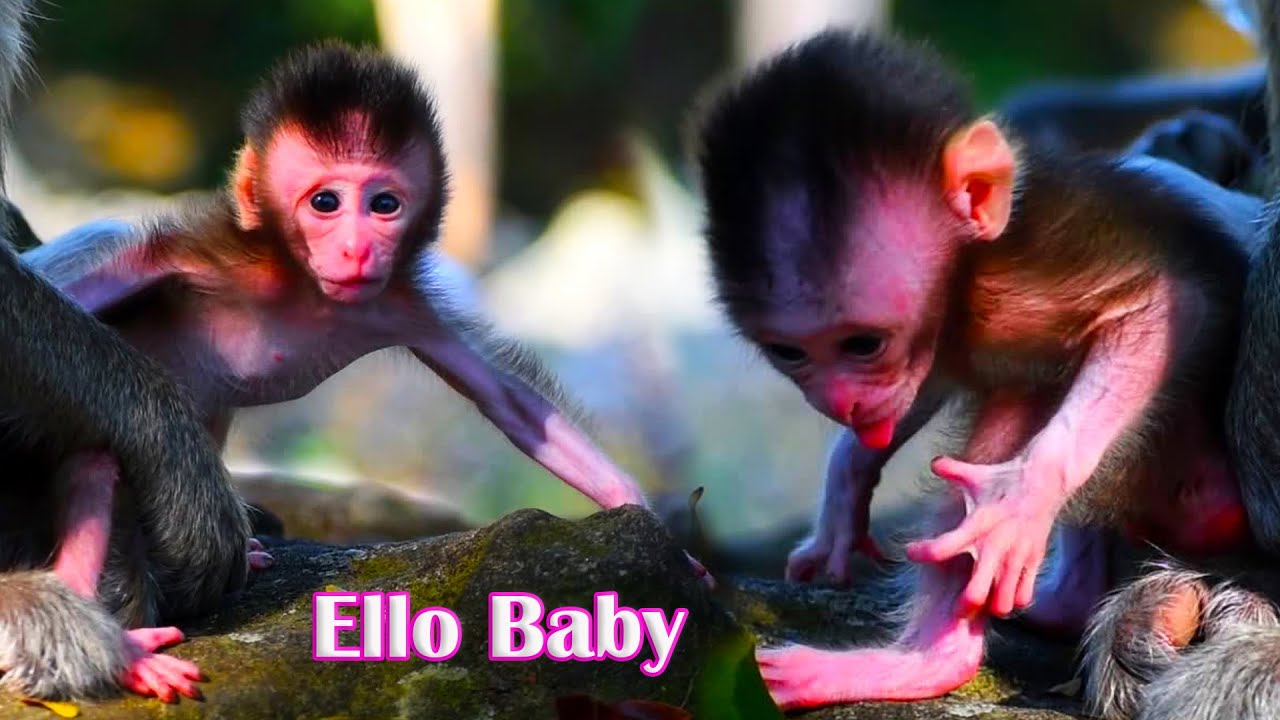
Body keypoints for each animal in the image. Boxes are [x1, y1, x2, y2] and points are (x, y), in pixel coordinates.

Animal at [21, 43, 669, 552]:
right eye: (325, 202)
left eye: (383, 204)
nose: (356, 249)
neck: (299, 287)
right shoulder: (193, 259)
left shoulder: (401, 305)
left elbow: (512, 403)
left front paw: (645, 518)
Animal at [692, 29, 1261, 710]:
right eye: (791, 353)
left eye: (862, 344)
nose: (839, 401)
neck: (963, 281)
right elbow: (916, 396)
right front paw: (848, 481)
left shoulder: (1020, 285)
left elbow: (1164, 305)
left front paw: (1023, 495)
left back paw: (937, 657)